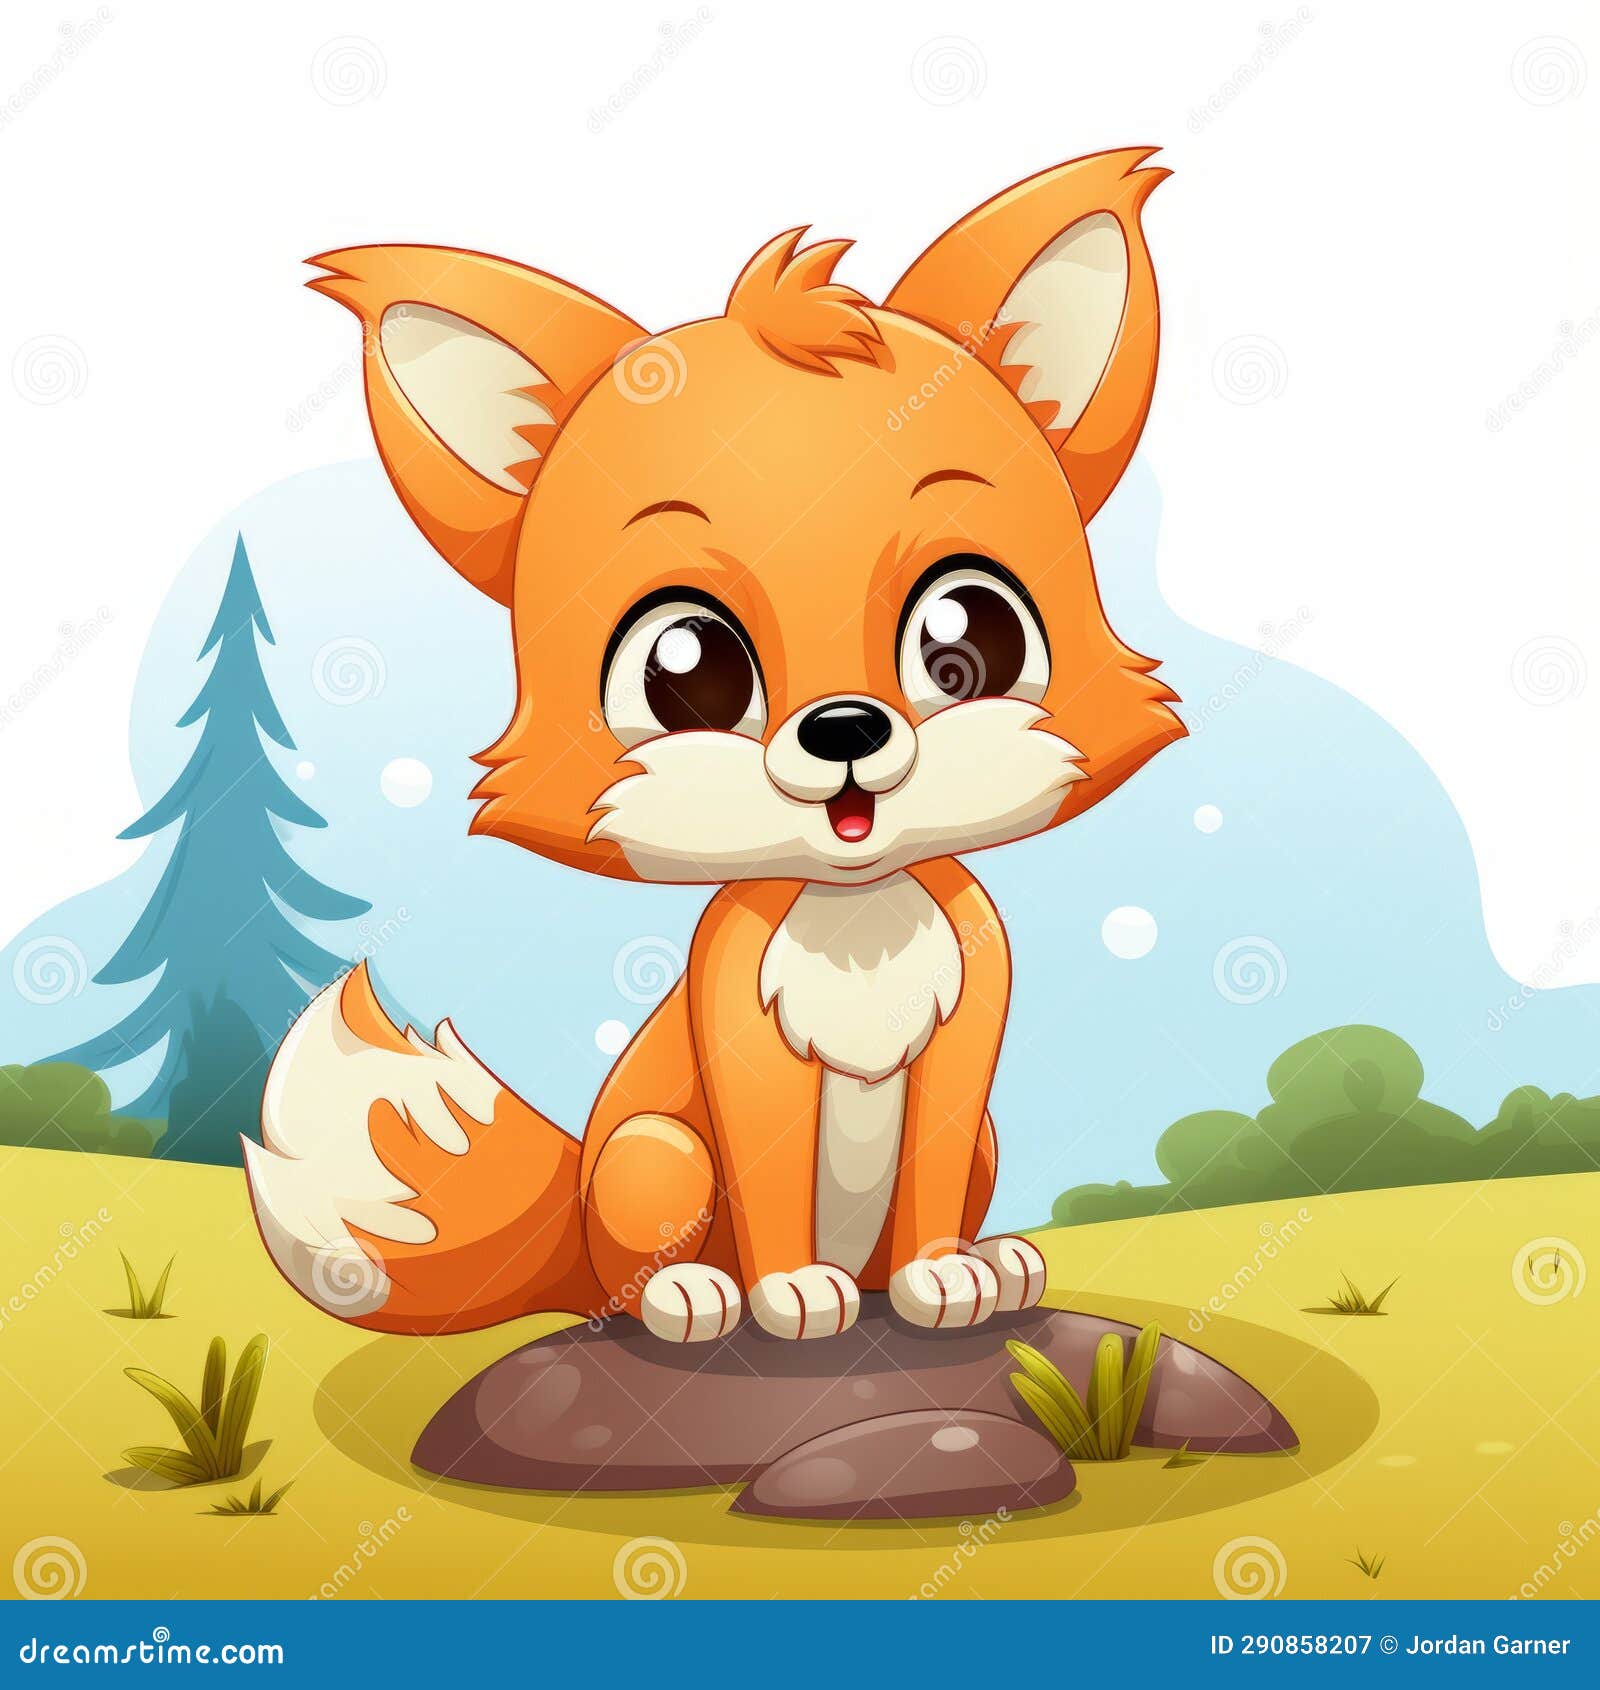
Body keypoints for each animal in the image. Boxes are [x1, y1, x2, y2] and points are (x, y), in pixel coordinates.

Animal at [243, 149, 1185, 1344]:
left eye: (971, 634)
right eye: (685, 669)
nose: (845, 727)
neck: (854, 917)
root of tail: (569, 1235)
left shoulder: (968, 1030)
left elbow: (929, 1169)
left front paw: (945, 1276)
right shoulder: (742, 1040)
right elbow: (772, 1177)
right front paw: (789, 1292)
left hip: (978, 1147)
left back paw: (959, 1266)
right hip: (651, 1159)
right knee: (628, 1275)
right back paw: (693, 1293)